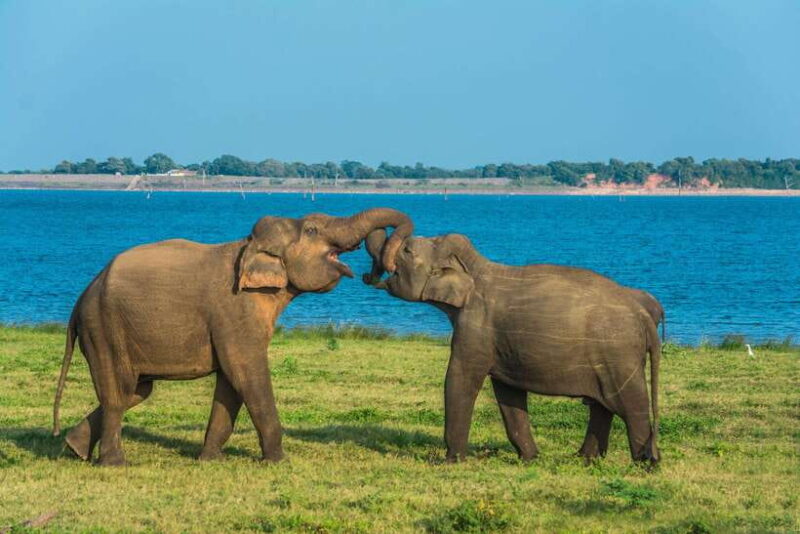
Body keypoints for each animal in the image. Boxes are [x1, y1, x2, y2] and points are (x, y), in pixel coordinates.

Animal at [52, 208, 412, 466]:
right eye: (311, 230)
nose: (372, 272)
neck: (248, 245)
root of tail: (80, 300)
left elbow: (231, 382)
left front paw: (209, 460)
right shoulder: (234, 310)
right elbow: (247, 373)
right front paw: (278, 462)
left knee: (136, 391)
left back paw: (74, 448)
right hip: (105, 329)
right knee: (119, 391)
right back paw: (114, 463)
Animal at [363, 230, 660, 465]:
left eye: (407, 250)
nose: (369, 274)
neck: (475, 267)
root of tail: (643, 313)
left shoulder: (475, 328)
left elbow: (460, 379)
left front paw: (450, 461)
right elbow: (508, 393)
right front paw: (530, 457)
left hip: (618, 355)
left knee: (630, 404)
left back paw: (645, 463)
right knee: (602, 406)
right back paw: (584, 459)